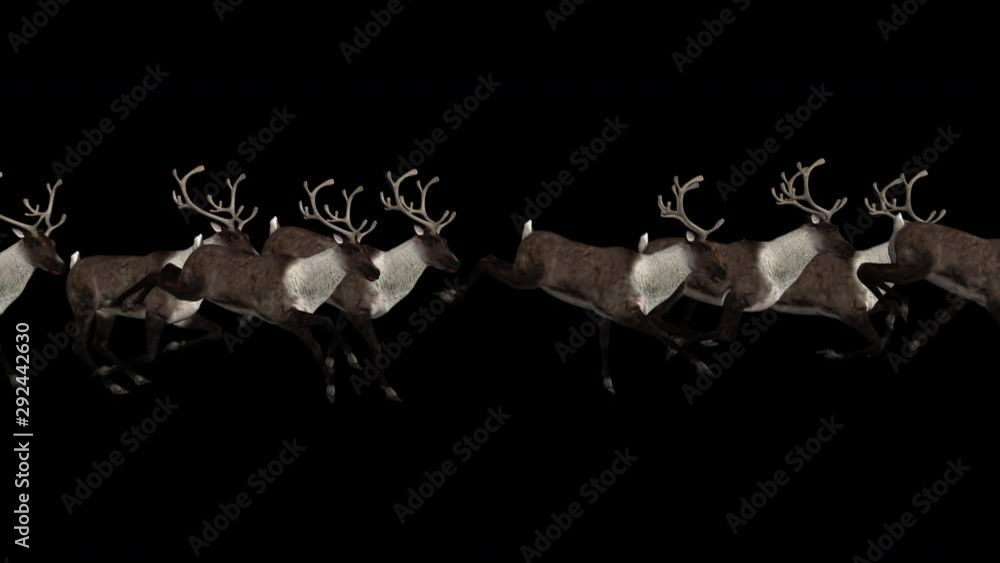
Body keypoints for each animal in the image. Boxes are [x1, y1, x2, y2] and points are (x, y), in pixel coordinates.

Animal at [65, 166, 259, 394]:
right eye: (233, 237)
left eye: (247, 236)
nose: (257, 256)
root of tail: (73, 266)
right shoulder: (154, 313)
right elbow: (150, 355)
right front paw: (106, 371)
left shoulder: (181, 317)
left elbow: (216, 331)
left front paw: (172, 345)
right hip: (82, 306)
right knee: (79, 344)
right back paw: (113, 383)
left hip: (105, 313)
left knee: (100, 343)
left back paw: (133, 379)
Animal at [113, 175, 382, 403]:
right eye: (353, 250)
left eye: (366, 248)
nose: (376, 272)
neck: (308, 285)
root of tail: (197, 252)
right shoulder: (280, 316)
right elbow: (320, 335)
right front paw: (335, 381)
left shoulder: (296, 315)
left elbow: (325, 328)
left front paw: (346, 366)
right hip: (194, 290)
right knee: (158, 275)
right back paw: (126, 305)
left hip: (187, 282)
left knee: (165, 269)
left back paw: (141, 316)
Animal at [263, 169, 460, 402]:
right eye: (432, 242)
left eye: (446, 241)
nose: (457, 263)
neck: (386, 285)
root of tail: (274, 231)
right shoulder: (358, 309)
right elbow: (376, 349)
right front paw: (389, 390)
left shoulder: (346, 305)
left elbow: (338, 326)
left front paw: (337, 361)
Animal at [460, 175, 729, 395]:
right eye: (705, 250)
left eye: (716, 250)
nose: (724, 272)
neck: (648, 281)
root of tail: (527, 233)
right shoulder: (625, 312)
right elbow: (665, 335)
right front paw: (701, 364)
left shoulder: (606, 312)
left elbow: (605, 343)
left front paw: (608, 381)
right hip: (528, 277)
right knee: (486, 260)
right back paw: (455, 292)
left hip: (520, 268)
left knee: (490, 259)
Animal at [639, 159, 857, 348]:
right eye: (830, 229)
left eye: (836, 227)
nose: (851, 250)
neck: (776, 272)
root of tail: (644, 247)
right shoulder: (735, 296)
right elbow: (725, 333)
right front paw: (693, 341)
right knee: (654, 317)